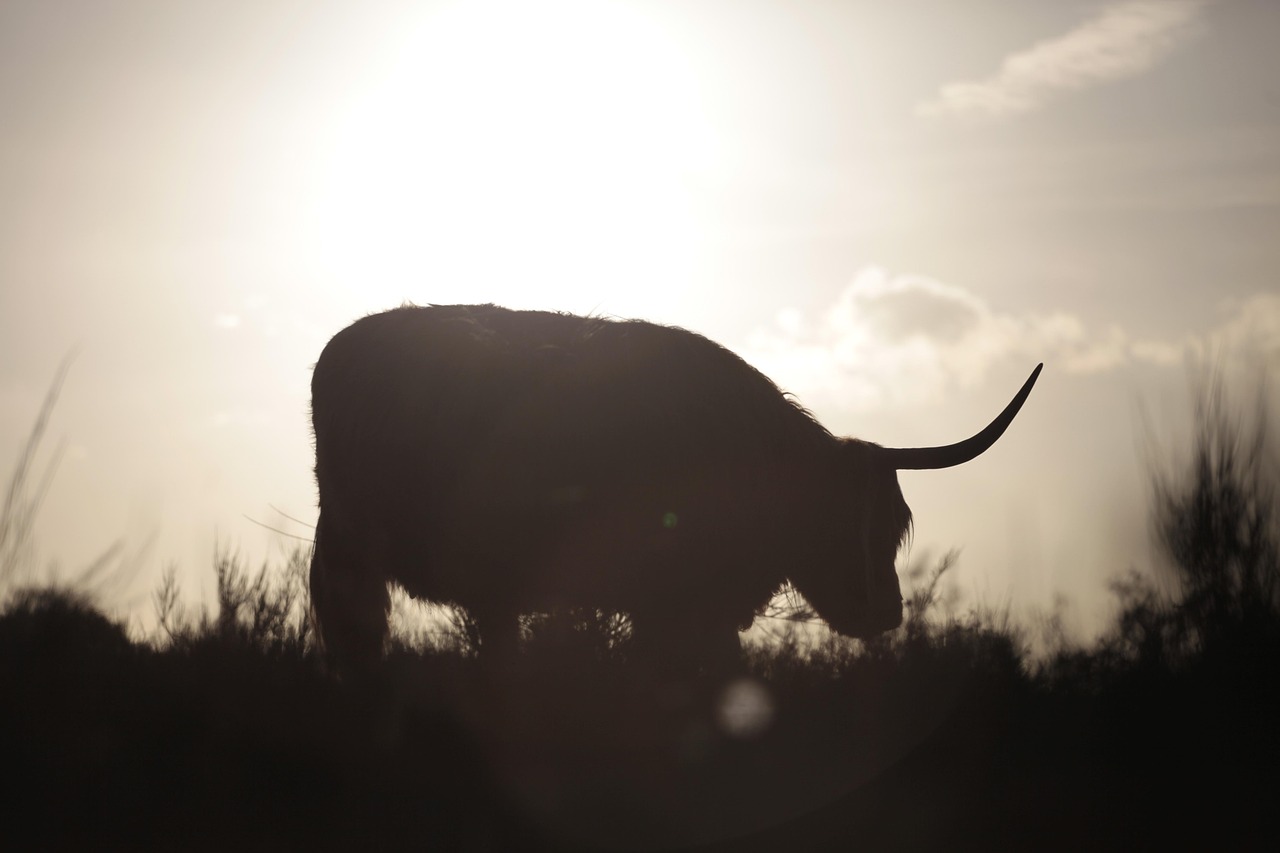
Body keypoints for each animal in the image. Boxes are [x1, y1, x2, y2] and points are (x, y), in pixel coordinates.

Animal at [309, 304, 1041, 675]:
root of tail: (343, 343)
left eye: (895, 523)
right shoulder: (673, 601)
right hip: (347, 549)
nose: (886, 612)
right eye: (841, 519)